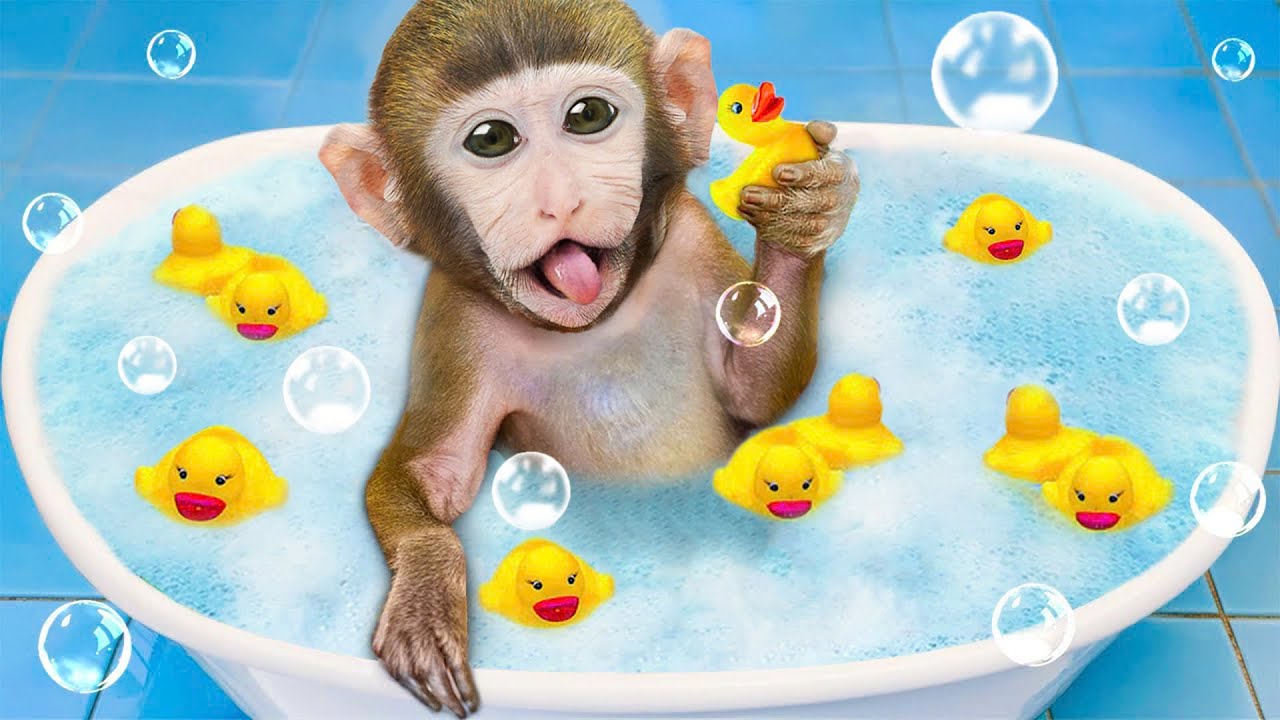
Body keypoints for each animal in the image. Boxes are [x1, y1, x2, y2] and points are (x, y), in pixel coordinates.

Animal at [318, 0, 858, 715]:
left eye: (588, 116)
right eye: (491, 140)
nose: (561, 200)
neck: (595, 323)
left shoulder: (691, 233)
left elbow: (752, 392)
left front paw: (804, 220)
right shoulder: (457, 322)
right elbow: (435, 473)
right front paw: (426, 590)